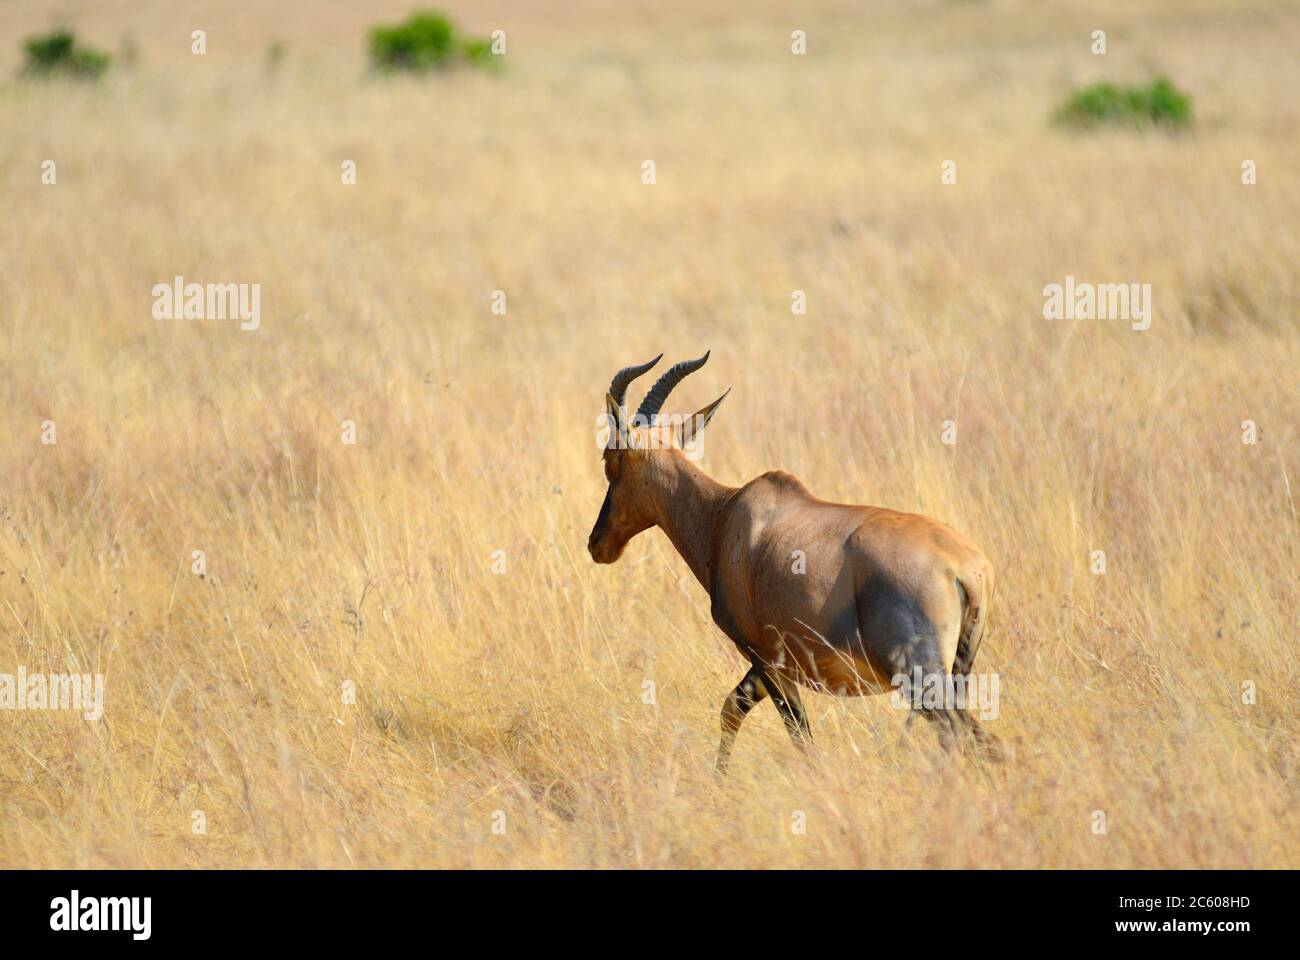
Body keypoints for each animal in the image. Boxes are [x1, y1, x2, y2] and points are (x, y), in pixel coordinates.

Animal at [588, 353, 997, 774]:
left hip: (920, 677)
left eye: (610, 460)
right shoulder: (769, 663)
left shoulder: (764, 657)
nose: (597, 544)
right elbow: (733, 709)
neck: (726, 514)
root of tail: (967, 568)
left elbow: (796, 734)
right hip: (957, 672)